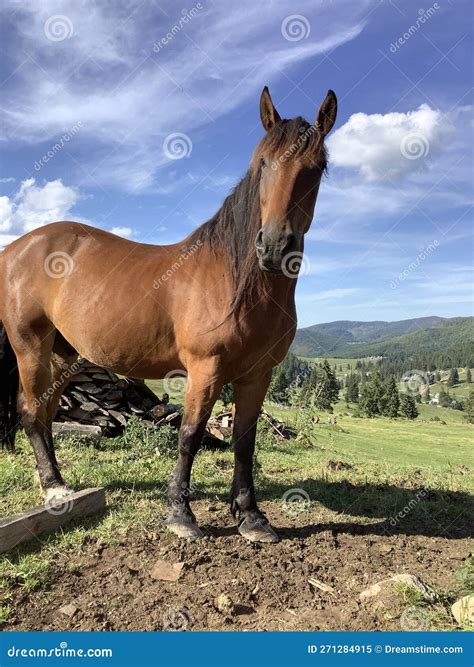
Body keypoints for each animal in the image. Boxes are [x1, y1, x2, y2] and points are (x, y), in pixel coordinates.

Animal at [0, 86, 337, 543]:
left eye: (316, 168)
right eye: (264, 162)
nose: (273, 247)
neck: (237, 279)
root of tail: (17, 248)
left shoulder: (258, 374)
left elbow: (245, 441)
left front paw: (251, 516)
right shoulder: (205, 370)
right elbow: (190, 436)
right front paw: (181, 514)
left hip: (63, 353)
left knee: (47, 410)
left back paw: (53, 482)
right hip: (30, 346)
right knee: (32, 411)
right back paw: (55, 489)